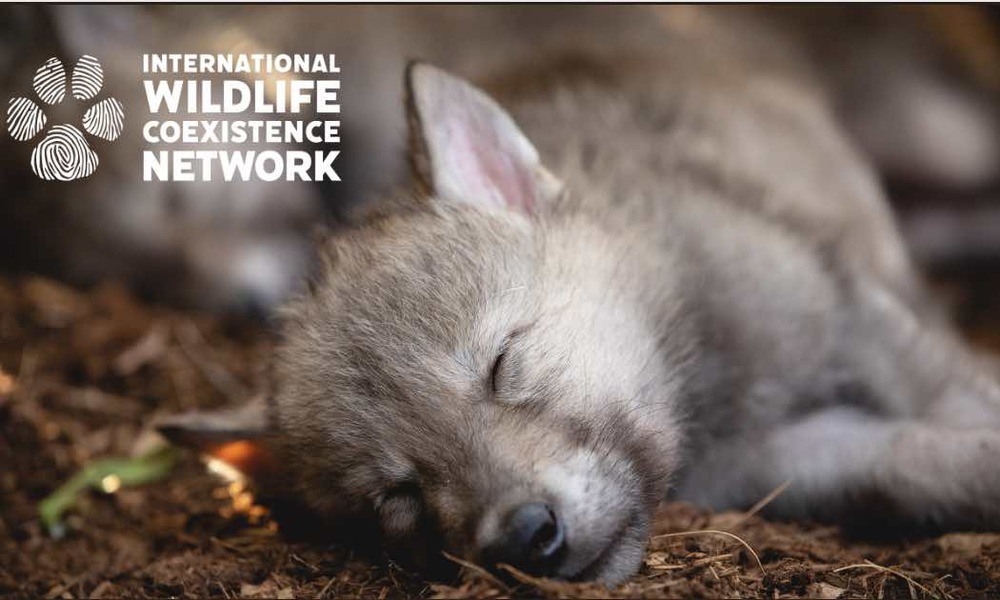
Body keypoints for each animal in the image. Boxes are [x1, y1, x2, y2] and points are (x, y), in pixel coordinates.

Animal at [159, 14, 1000, 587]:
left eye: (503, 363)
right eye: (397, 496)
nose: (524, 538)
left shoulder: (860, 320)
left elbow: (959, 398)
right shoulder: (790, 457)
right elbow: (910, 469)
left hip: (936, 139)